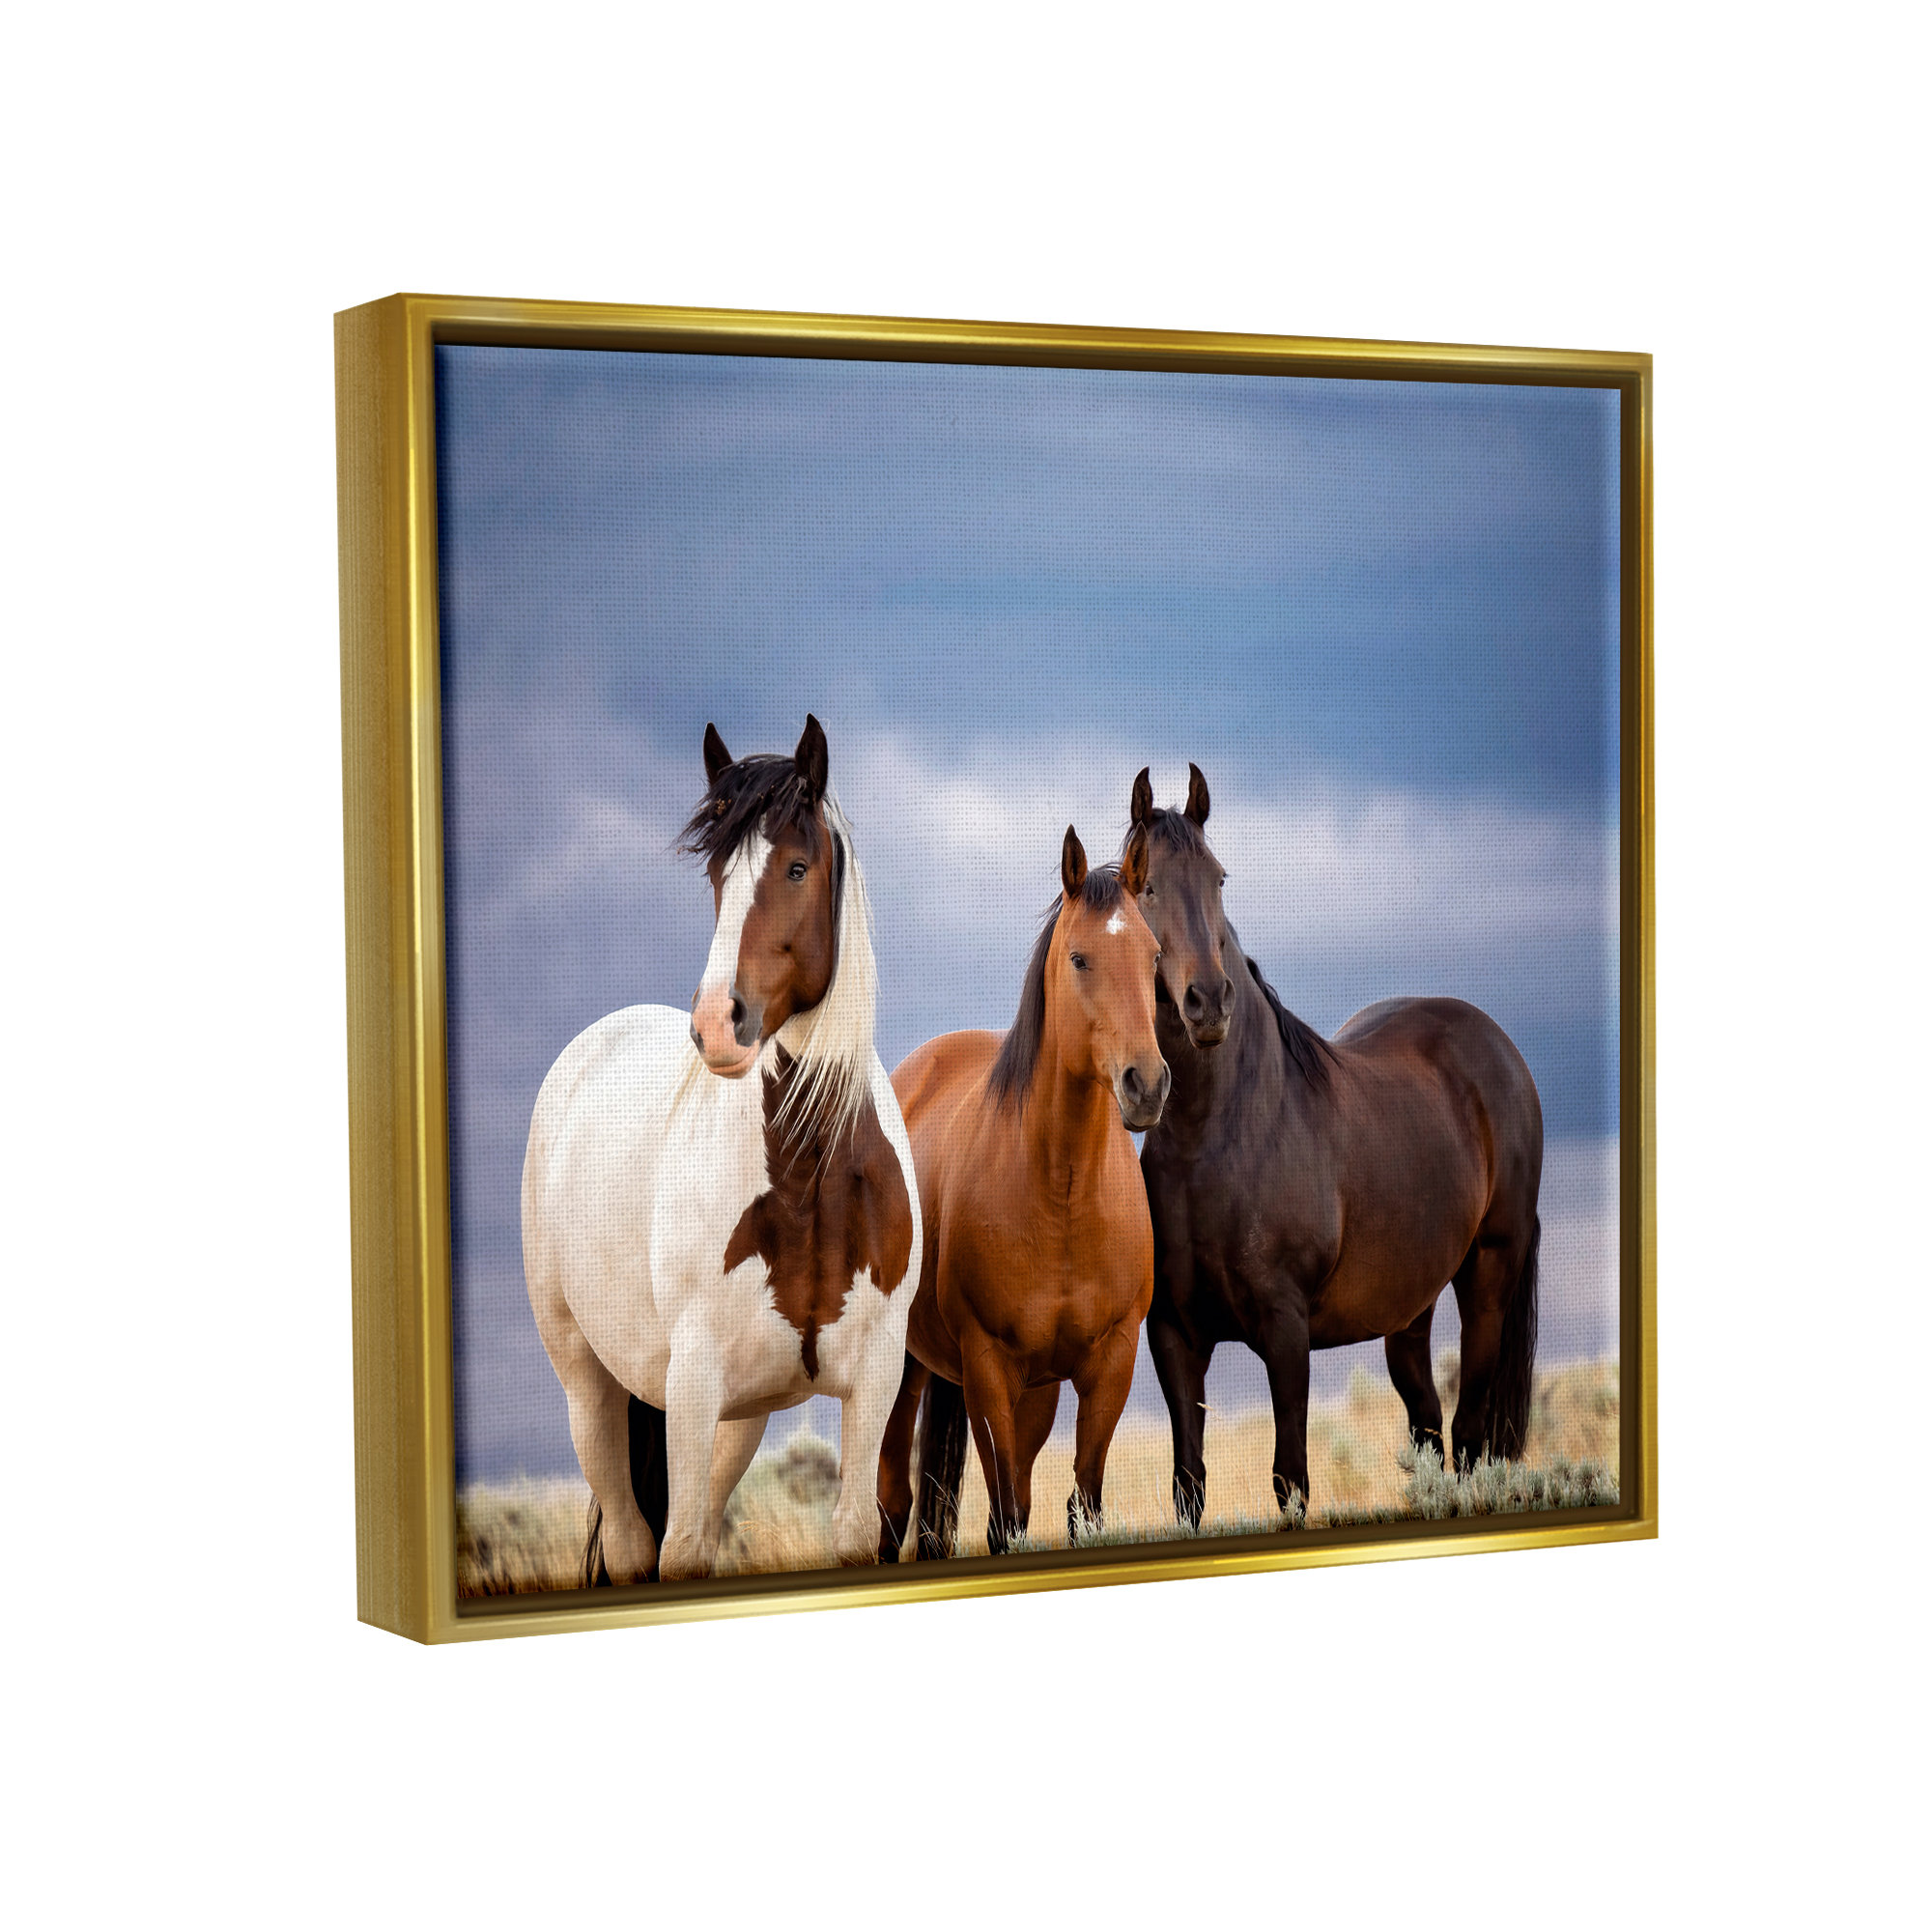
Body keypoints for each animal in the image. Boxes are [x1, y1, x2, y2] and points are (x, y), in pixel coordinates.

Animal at [520, 715, 921, 1583]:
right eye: (714, 873)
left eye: (797, 867)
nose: (715, 1025)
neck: (808, 1177)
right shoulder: (694, 1379)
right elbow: (679, 1555)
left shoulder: (875, 1378)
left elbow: (852, 1531)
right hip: (591, 1388)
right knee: (636, 1546)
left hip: (737, 1420)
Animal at [876, 821, 1168, 1560]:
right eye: (1081, 959)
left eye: (1153, 956)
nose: (1147, 1085)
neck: (1061, 1195)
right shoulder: (987, 1366)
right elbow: (1005, 1519)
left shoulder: (1109, 1364)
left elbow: (1079, 1504)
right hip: (904, 1369)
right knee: (893, 1503)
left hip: (1030, 1392)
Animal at [1128, 763, 1543, 1523]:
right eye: (1145, 886)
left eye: (1219, 879)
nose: (1210, 1002)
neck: (1218, 1137)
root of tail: (1497, 1047)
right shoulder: (1174, 1334)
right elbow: (1189, 1484)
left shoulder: (1286, 1331)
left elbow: (1291, 1479)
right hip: (1409, 1309)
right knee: (1429, 1428)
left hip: (1489, 1274)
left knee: (1470, 1436)